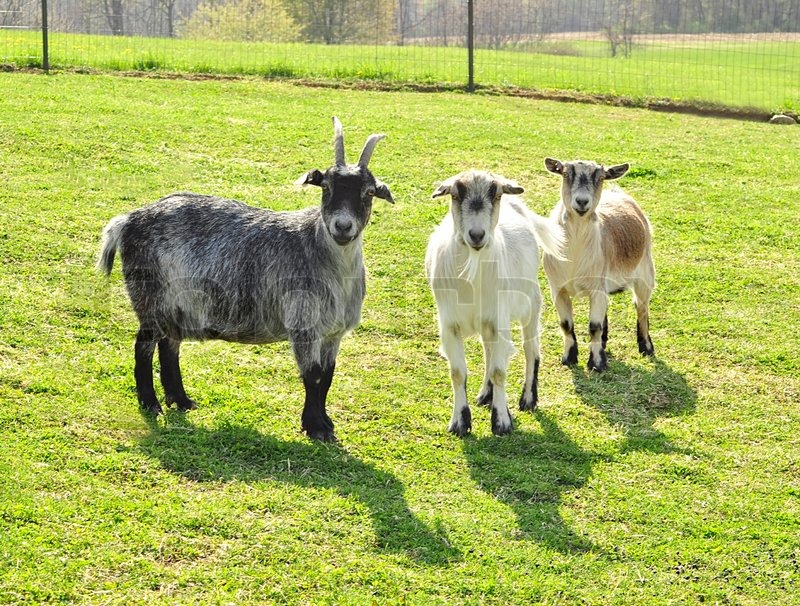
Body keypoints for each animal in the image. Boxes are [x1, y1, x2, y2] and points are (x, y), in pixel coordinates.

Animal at [97, 117, 393, 442]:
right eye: (326, 187)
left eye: (368, 192)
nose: (342, 226)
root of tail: (128, 220)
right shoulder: (303, 323)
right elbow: (312, 376)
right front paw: (316, 427)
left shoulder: (333, 333)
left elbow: (327, 377)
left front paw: (325, 423)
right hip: (150, 294)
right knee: (144, 345)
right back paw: (151, 404)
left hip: (180, 302)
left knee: (169, 345)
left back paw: (181, 400)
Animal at [425, 170, 565, 436]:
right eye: (455, 195)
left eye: (497, 194)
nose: (477, 235)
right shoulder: (449, 324)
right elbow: (457, 373)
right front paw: (460, 422)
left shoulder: (499, 319)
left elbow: (500, 371)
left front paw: (501, 421)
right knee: (489, 351)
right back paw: (486, 394)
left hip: (531, 303)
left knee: (531, 350)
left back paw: (528, 399)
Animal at [542, 158, 655, 373]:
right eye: (566, 173)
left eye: (600, 177)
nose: (582, 201)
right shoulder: (558, 288)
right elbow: (566, 324)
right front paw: (569, 358)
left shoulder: (597, 287)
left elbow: (593, 326)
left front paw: (596, 364)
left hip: (645, 274)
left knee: (642, 307)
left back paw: (646, 347)